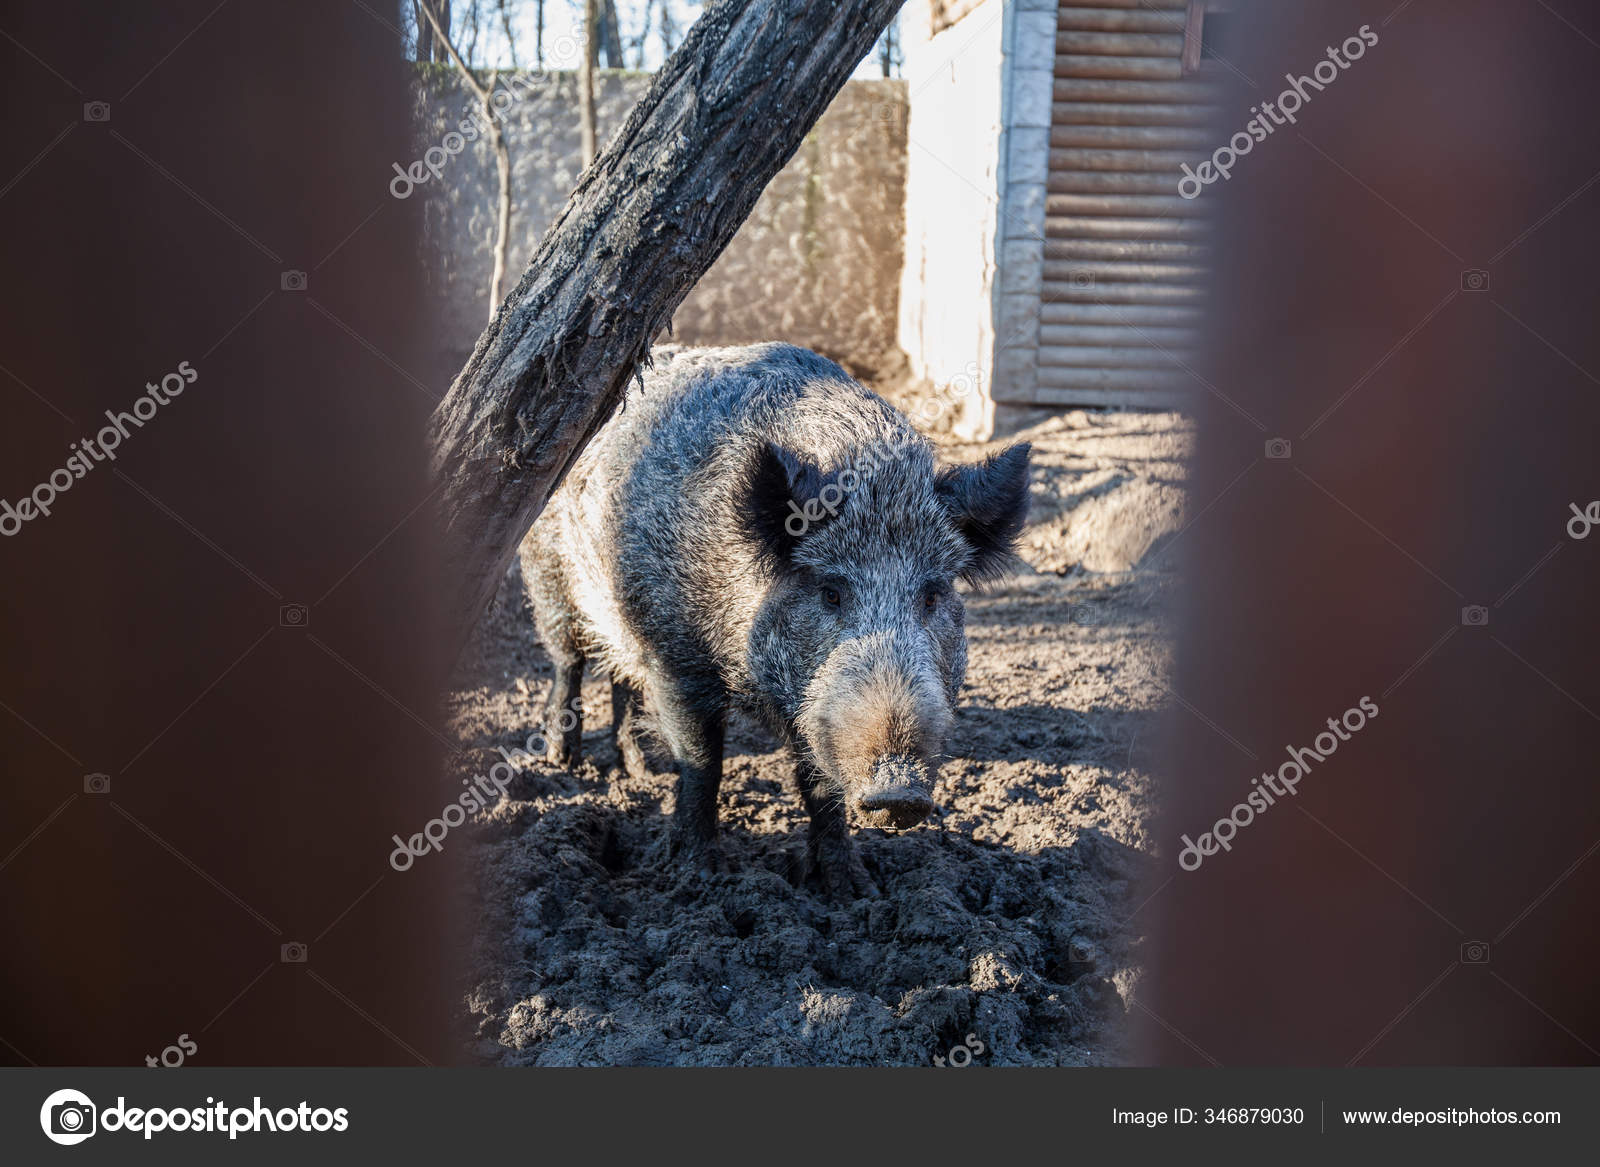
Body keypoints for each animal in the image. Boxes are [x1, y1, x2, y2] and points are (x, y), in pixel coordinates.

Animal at [520, 343, 1030, 897]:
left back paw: (638, 773)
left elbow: (821, 787)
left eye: (933, 594)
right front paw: (698, 877)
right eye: (830, 592)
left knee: (620, 678)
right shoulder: (677, 658)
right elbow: (702, 762)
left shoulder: (813, 714)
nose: (899, 794)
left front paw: (851, 889)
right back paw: (560, 759)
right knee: (568, 661)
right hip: (548, 577)